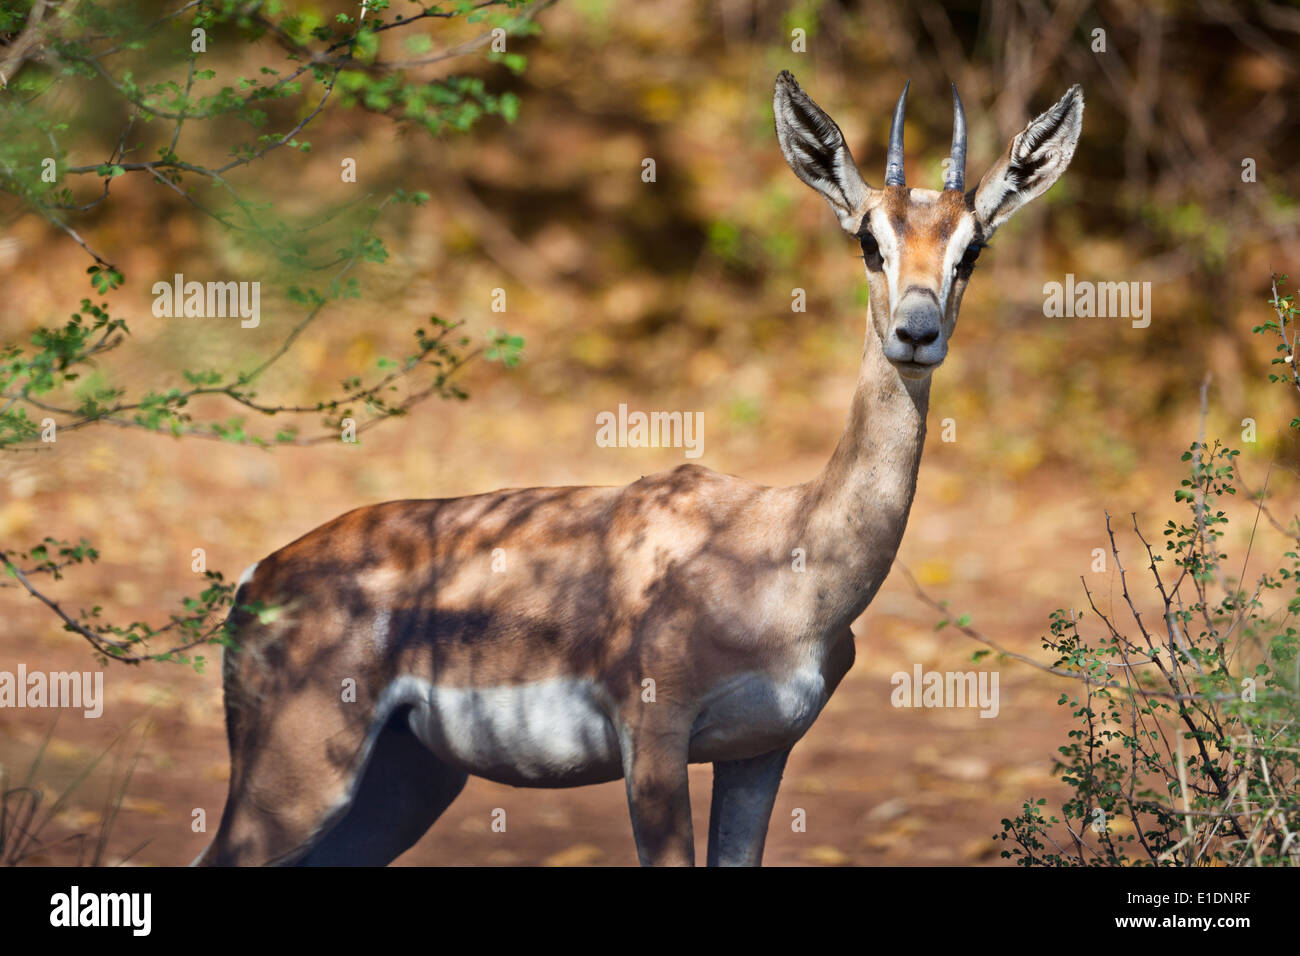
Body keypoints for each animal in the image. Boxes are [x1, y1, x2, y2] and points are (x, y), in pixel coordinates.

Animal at [196, 72, 1083, 867]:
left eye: (973, 248)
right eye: (870, 239)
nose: (917, 333)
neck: (782, 559)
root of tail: (258, 575)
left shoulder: (760, 753)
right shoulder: (653, 744)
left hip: (402, 787)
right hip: (299, 782)